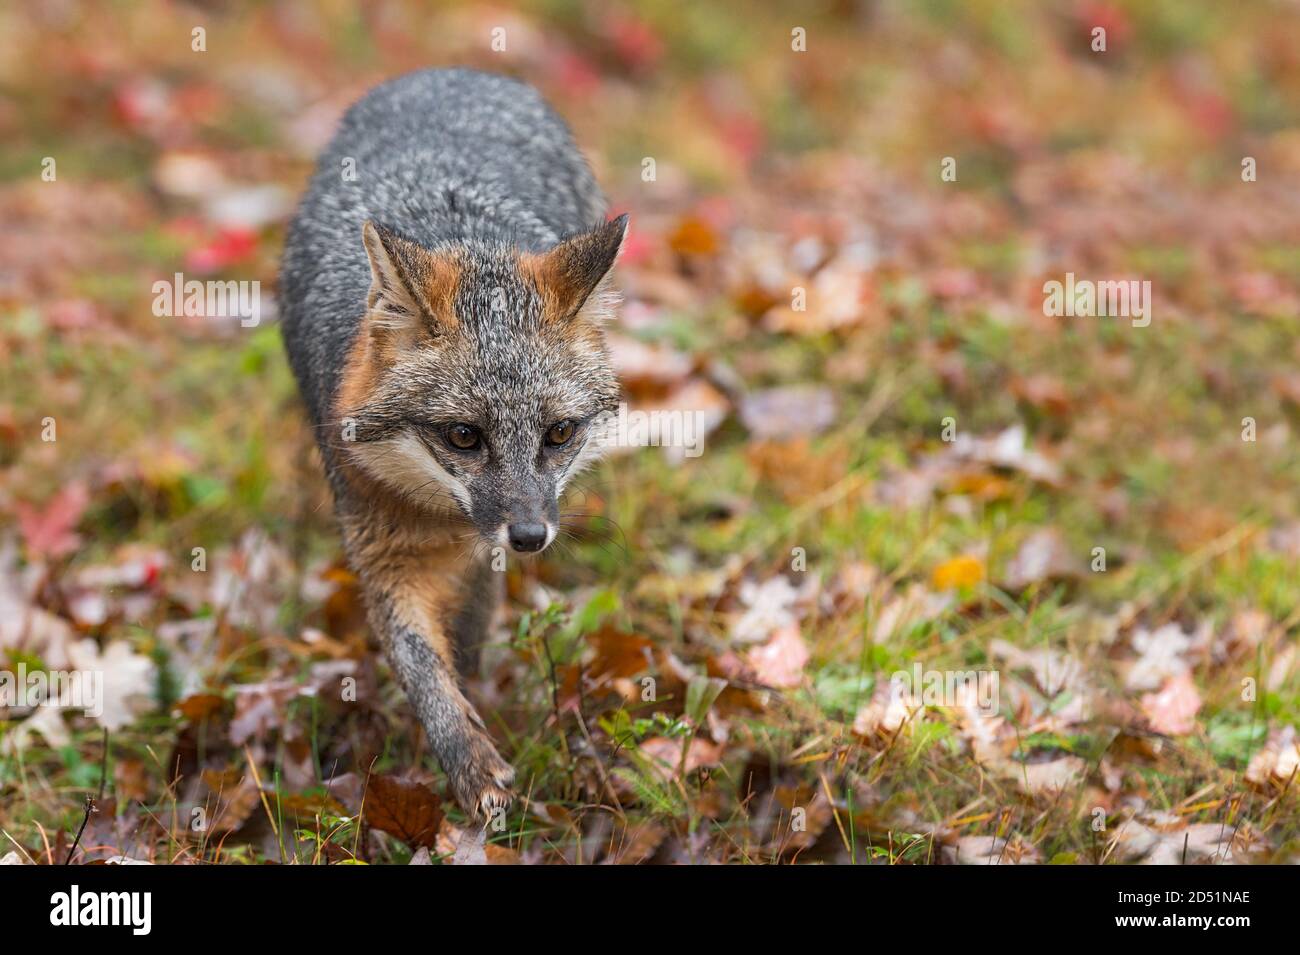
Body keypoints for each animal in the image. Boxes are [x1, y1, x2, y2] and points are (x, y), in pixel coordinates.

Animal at [279, 69, 626, 820]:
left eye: (559, 433)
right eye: (463, 436)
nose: (530, 536)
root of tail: (443, 74)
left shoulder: (477, 554)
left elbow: (463, 638)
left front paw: (472, 703)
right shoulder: (385, 552)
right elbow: (421, 668)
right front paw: (468, 763)